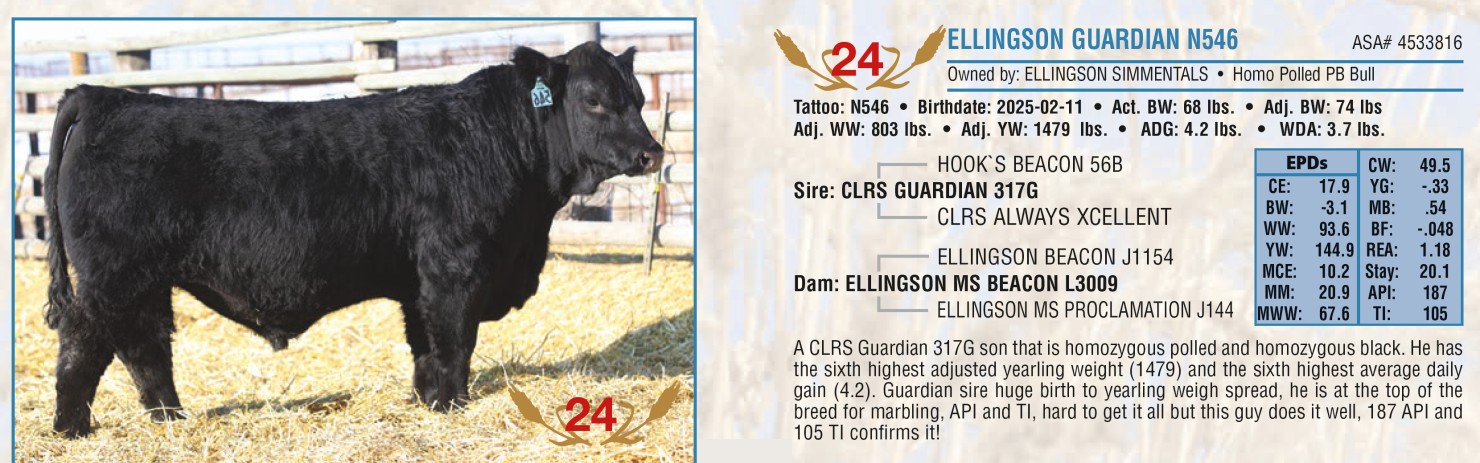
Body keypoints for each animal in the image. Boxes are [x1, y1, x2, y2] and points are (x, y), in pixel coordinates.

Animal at [43, 42, 664, 438]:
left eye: (637, 97)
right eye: (593, 99)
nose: (651, 153)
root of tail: (106, 97)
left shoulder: (419, 280)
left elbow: (424, 345)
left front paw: (428, 401)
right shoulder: (456, 268)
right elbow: (454, 341)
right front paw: (453, 405)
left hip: (139, 283)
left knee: (142, 349)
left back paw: (167, 419)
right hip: (115, 278)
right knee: (93, 345)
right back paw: (76, 429)